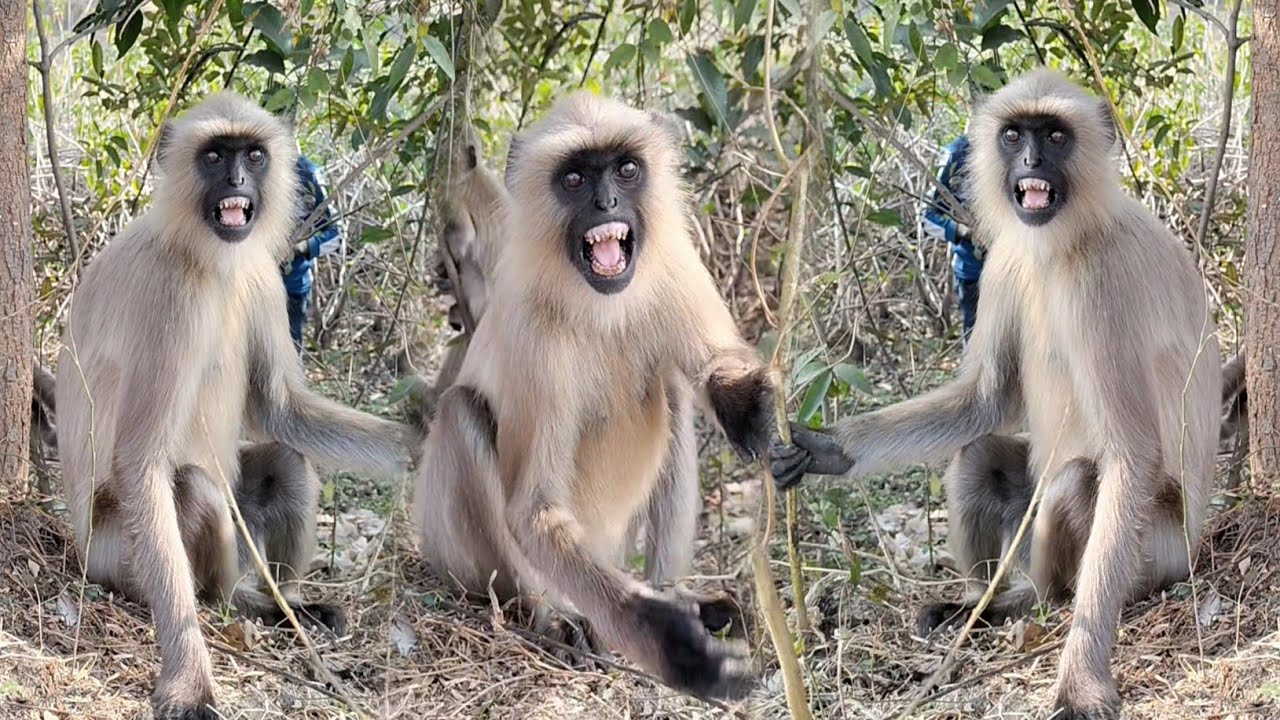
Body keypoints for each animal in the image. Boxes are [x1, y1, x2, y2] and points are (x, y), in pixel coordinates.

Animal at [55, 93, 414, 720]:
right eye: (214, 155)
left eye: (253, 154)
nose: (238, 180)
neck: (205, 259)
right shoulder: (170, 298)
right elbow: (139, 461)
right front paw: (188, 678)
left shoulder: (262, 274)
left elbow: (282, 411)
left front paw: (426, 436)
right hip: (113, 555)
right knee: (192, 488)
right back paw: (239, 607)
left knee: (285, 463)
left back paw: (283, 603)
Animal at [412, 92, 773, 701]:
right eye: (576, 178)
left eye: (625, 170)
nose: (607, 202)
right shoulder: (532, 334)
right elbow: (533, 510)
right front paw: (669, 644)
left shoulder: (672, 263)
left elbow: (712, 363)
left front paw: (747, 407)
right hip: (468, 559)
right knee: (462, 412)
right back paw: (554, 619)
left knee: (672, 392)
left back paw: (673, 592)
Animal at [769, 70, 1220, 719]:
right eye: (1013, 136)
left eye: (1054, 135)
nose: (1031, 160)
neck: (1065, 241)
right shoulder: (1007, 257)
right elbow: (984, 401)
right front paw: (822, 449)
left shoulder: (1099, 283)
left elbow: (1132, 455)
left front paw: (1082, 676)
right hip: (1025, 530)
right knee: (979, 455)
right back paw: (983, 601)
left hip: (1158, 552)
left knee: (1078, 481)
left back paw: (1032, 605)